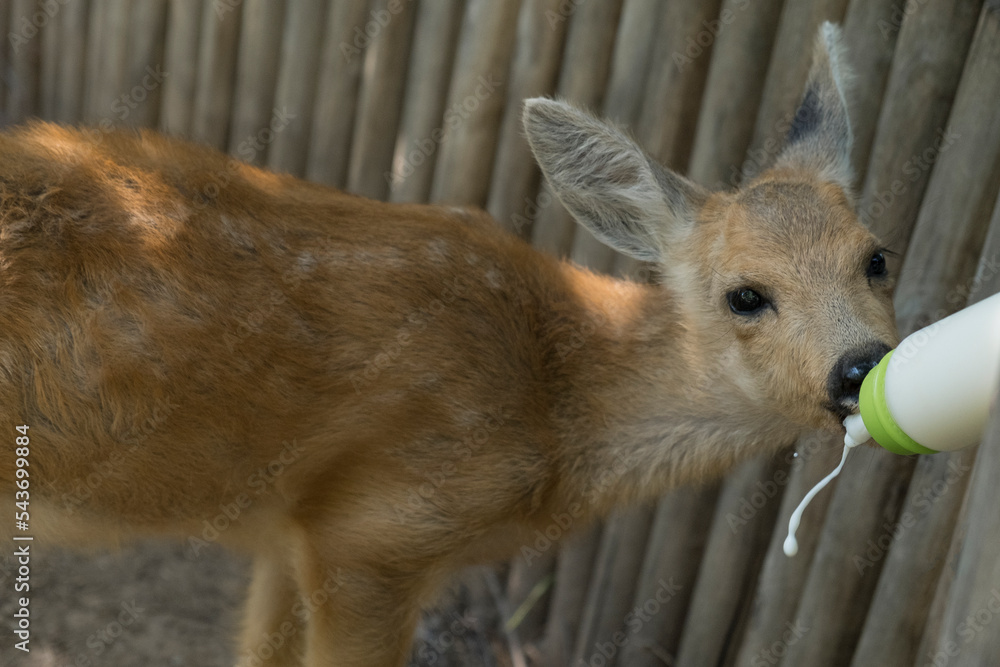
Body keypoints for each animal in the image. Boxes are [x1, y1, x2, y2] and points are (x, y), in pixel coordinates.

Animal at [0, 22, 897, 667]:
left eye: (878, 257)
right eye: (745, 294)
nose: (860, 364)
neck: (554, 404)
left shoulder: (292, 527)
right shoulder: (379, 532)